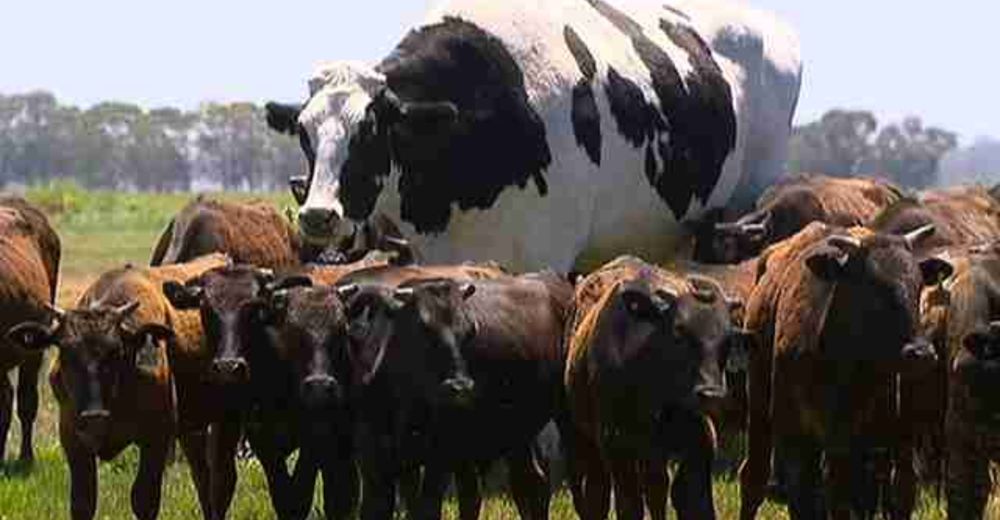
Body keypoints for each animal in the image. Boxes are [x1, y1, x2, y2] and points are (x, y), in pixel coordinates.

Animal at [4, 254, 227, 520]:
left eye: (116, 351)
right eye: (66, 352)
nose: (94, 415)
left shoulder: (157, 437)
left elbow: (144, 500)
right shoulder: (73, 438)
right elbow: (82, 503)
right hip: (192, 430)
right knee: (202, 476)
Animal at [341, 270, 572, 520]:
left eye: (471, 330)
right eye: (422, 329)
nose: (460, 386)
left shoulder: (439, 458)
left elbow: (428, 508)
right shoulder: (376, 464)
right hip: (517, 434)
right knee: (525, 483)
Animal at [564, 255, 746, 520]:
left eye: (728, 339)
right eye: (679, 331)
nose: (710, 393)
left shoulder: (698, 434)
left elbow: (690, 495)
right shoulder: (616, 443)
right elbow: (630, 505)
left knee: (655, 488)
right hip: (586, 439)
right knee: (599, 493)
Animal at [737, 223, 953, 519]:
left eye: (918, 285)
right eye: (871, 287)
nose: (920, 353)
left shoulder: (889, 441)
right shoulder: (797, 436)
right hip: (759, 407)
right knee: (754, 477)